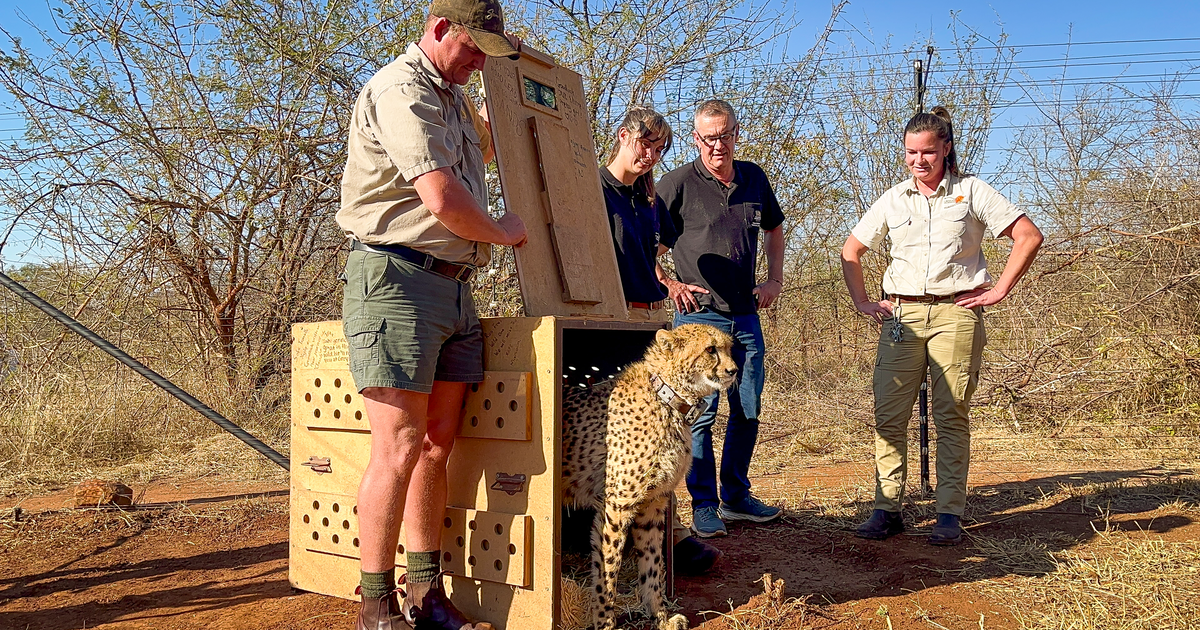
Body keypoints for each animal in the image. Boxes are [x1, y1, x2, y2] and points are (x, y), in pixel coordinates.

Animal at [561, 323, 737, 630]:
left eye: (729, 348)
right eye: (710, 349)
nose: (734, 370)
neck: (670, 399)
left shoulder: (653, 503)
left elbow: (653, 564)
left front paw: (660, 617)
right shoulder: (617, 505)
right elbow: (608, 568)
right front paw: (605, 622)